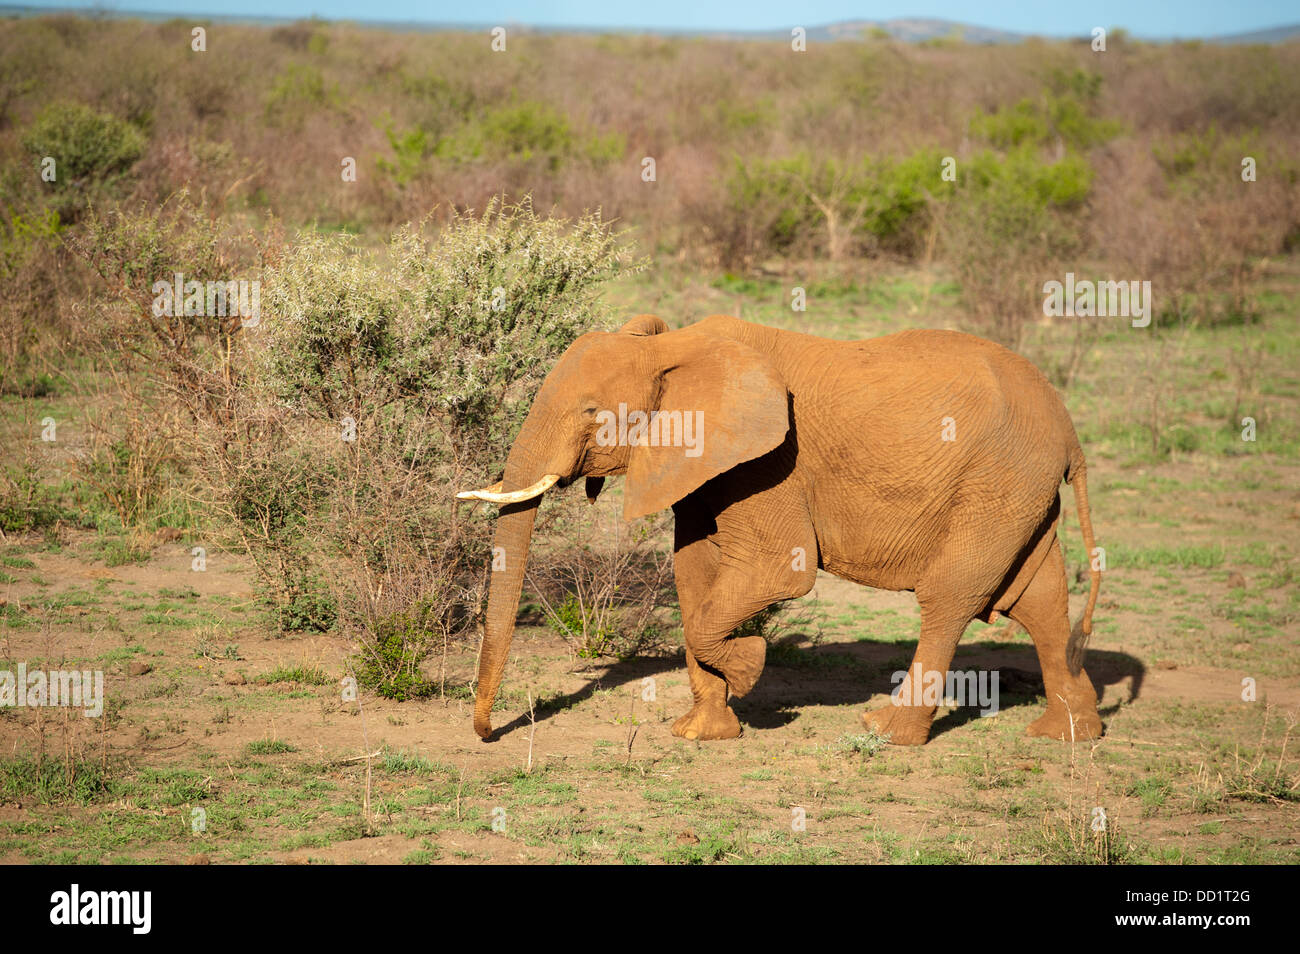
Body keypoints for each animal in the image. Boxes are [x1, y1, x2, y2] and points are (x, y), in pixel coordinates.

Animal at [457, 313, 1103, 745]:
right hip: (1019, 488)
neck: (672, 346)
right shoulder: (704, 463)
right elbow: (693, 573)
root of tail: (1070, 429)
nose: (489, 732)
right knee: (1039, 596)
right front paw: (701, 733)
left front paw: (748, 667)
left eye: (591, 412)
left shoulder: (770, 462)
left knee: (951, 595)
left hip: (998, 482)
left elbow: (777, 571)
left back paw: (885, 731)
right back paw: (1068, 733)